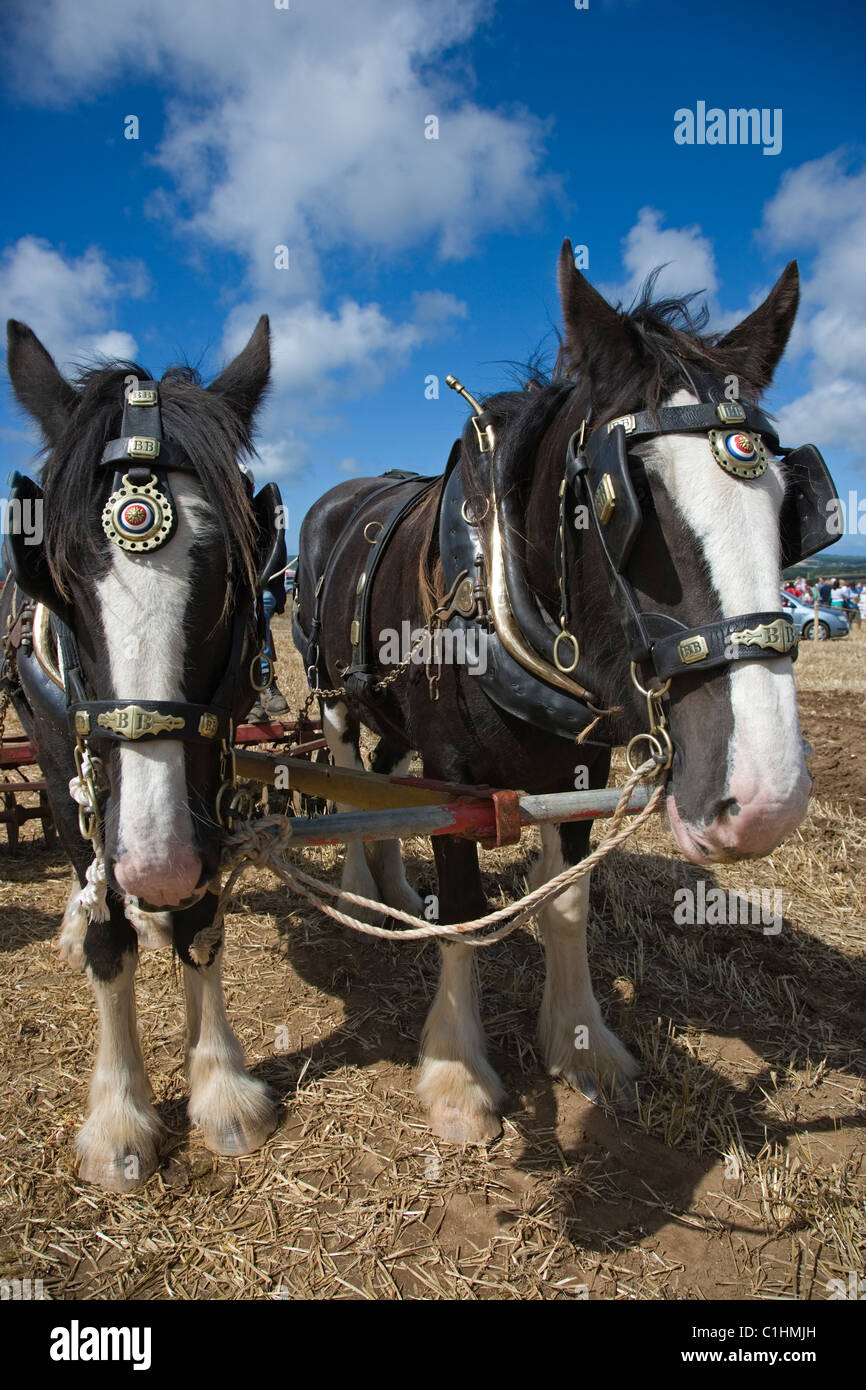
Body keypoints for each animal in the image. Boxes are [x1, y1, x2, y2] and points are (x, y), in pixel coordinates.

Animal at [1, 317, 283, 1189]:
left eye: (234, 571)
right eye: (56, 576)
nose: (154, 866)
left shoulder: (213, 761)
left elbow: (201, 922)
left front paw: (221, 1089)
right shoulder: (64, 763)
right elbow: (107, 940)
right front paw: (119, 1118)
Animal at [293, 241, 839, 1145]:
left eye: (789, 507)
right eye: (626, 503)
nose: (763, 802)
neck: (502, 587)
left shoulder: (580, 773)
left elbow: (569, 904)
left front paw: (581, 1043)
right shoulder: (455, 775)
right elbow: (467, 910)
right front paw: (458, 1074)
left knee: (382, 772)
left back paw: (396, 887)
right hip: (334, 690)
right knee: (345, 775)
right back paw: (364, 889)